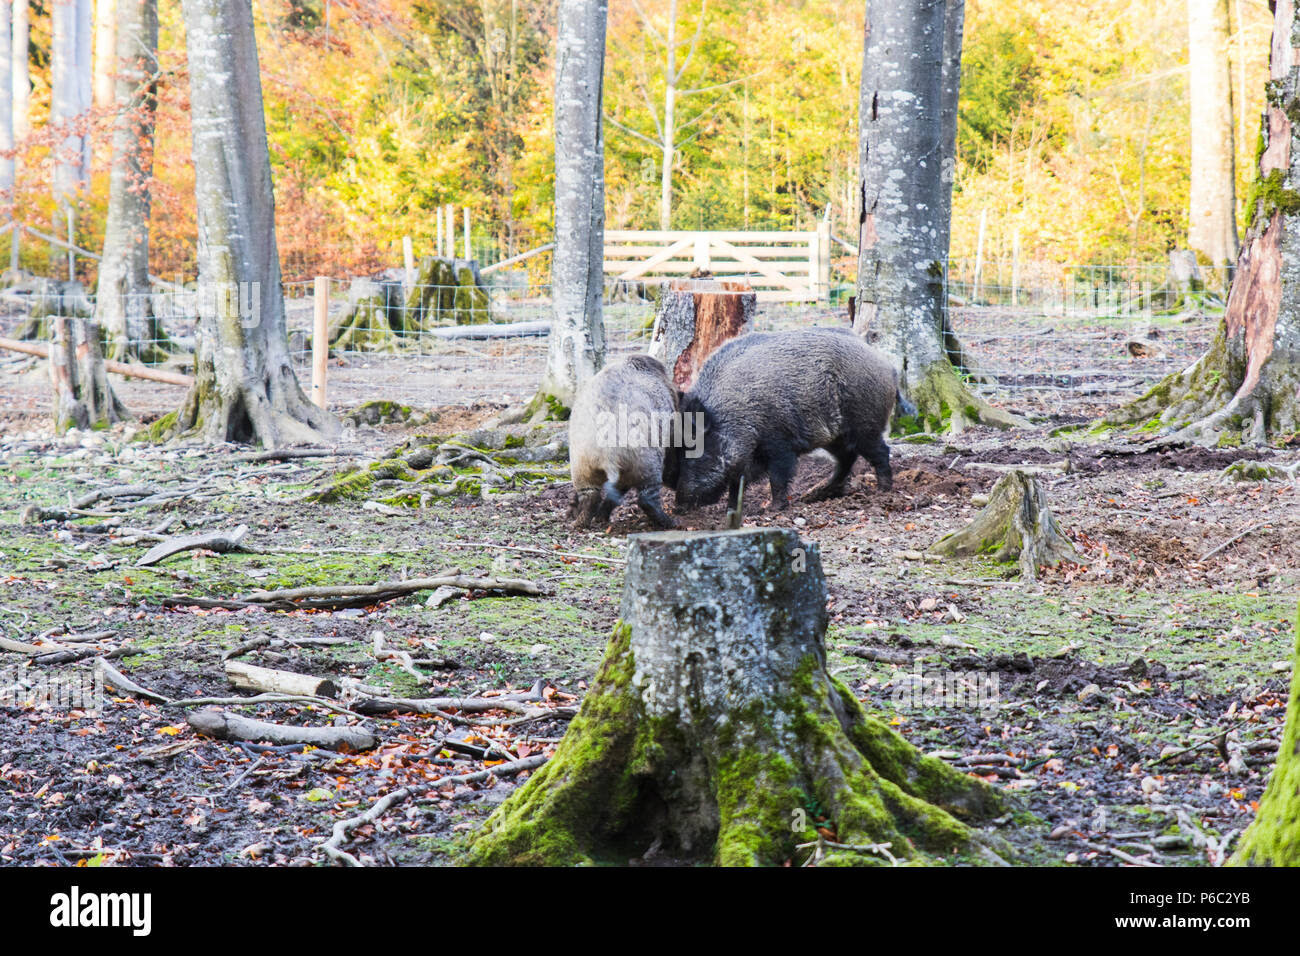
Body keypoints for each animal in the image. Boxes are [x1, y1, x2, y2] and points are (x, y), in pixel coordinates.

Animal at [567, 354, 680, 529]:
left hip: (581, 467)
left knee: (591, 496)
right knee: (646, 499)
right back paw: (670, 522)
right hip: (645, 463)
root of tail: (607, 453)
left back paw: (579, 523)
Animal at [675, 328, 904, 511]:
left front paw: (774, 509)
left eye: (695, 451)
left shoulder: (779, 442)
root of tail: (889, 368)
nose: (678, 507)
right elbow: (738, 483)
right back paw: (821, 492)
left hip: (865, 424)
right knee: (847, 458)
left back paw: (883, 490)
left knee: (880, 452)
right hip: (835, 437)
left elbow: (776, 477)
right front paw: (731, 510)